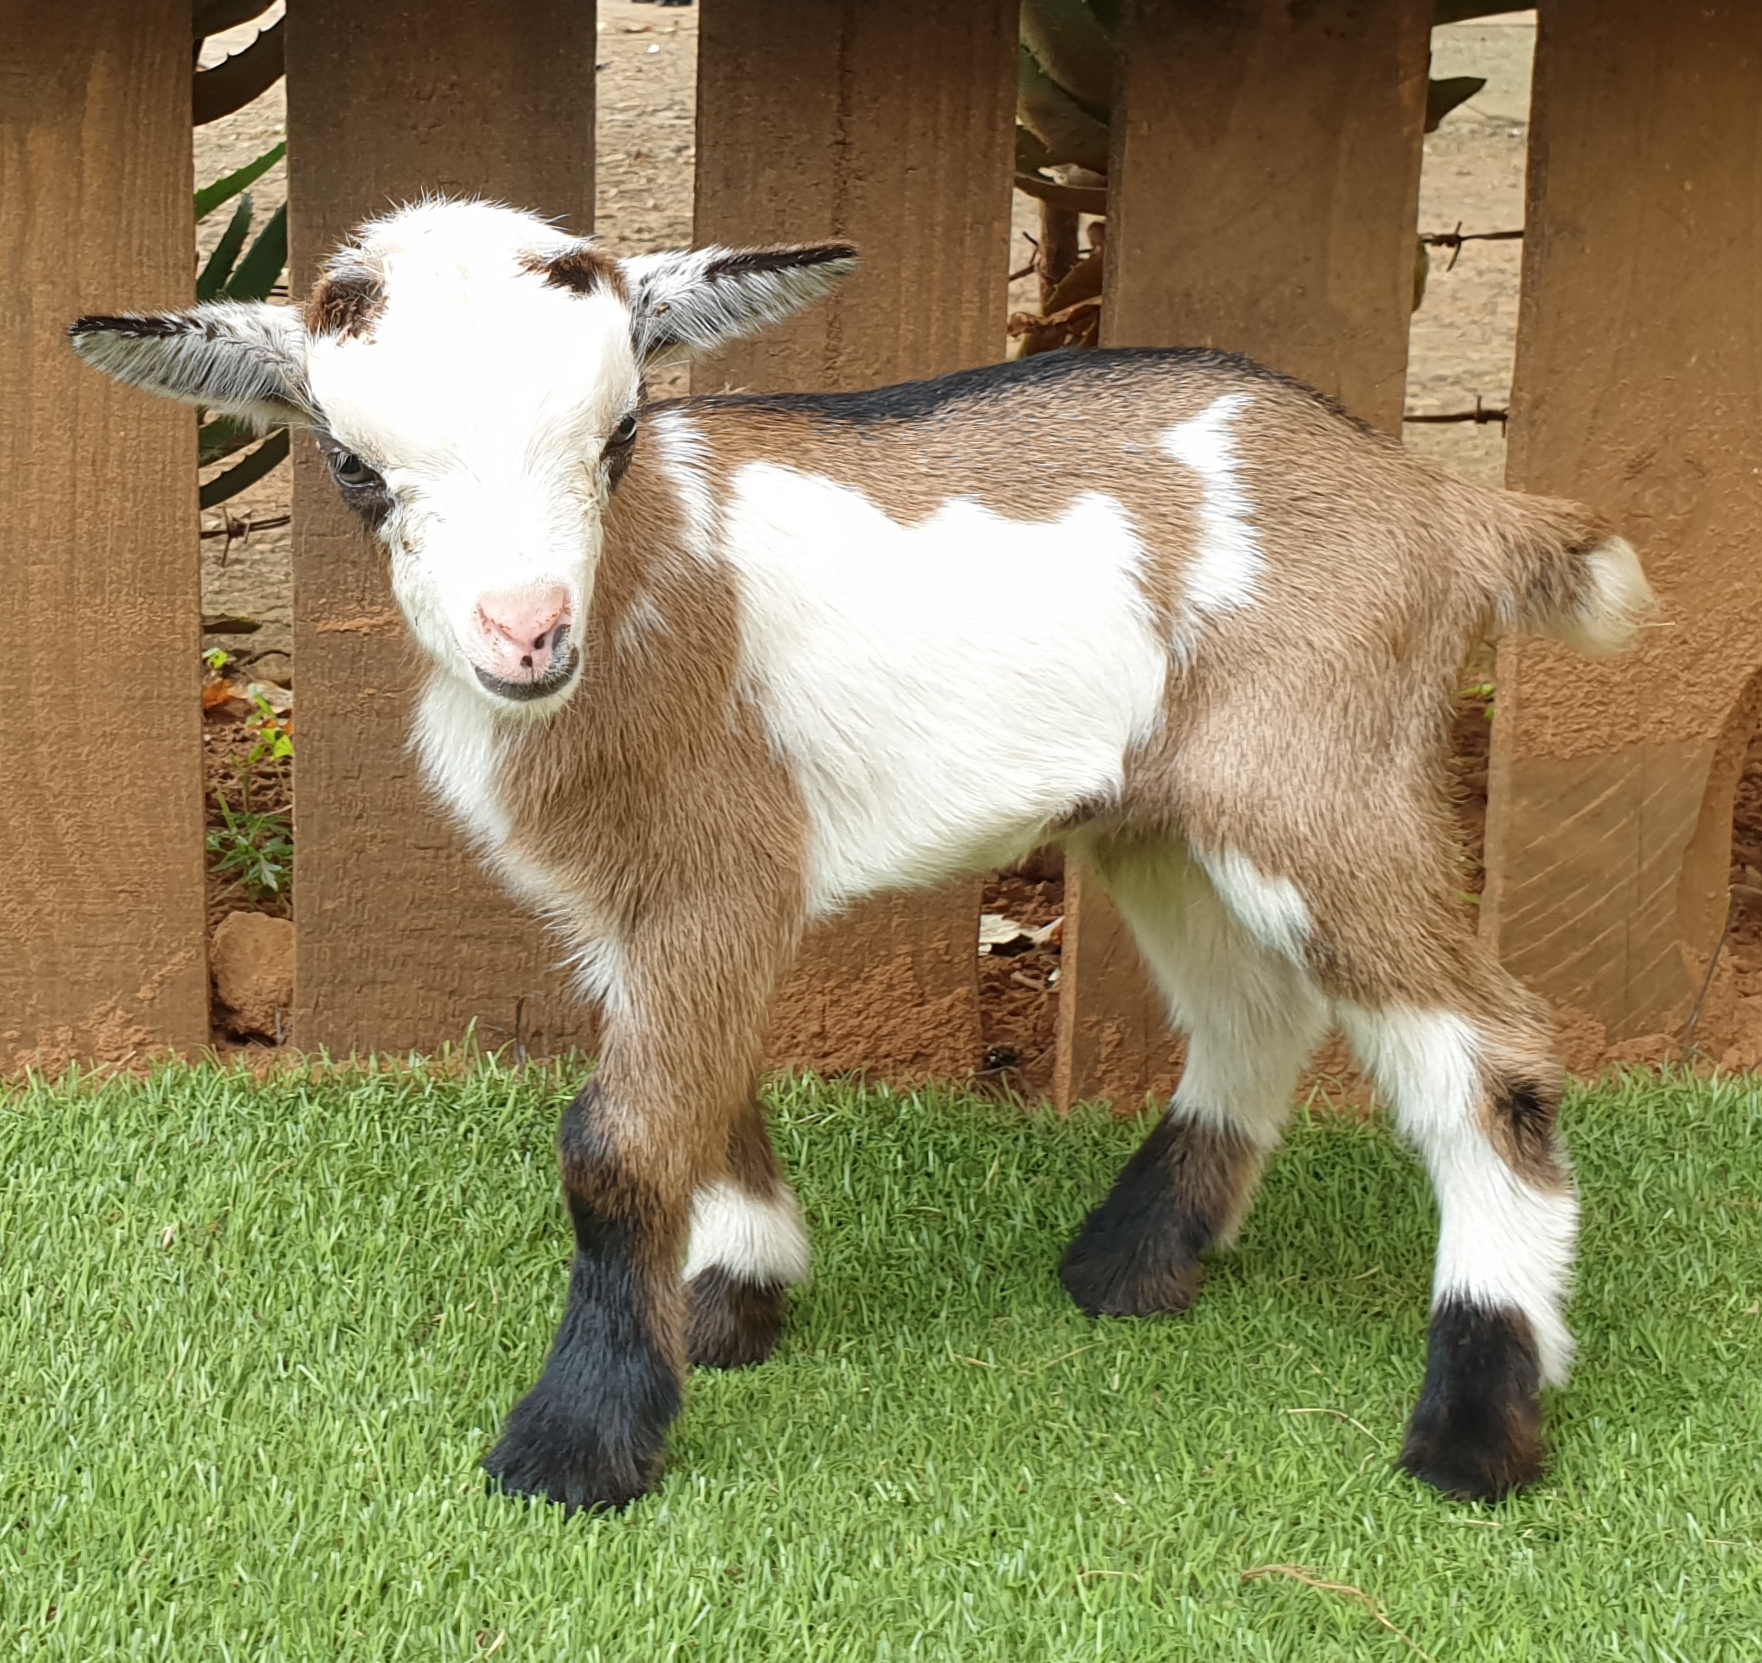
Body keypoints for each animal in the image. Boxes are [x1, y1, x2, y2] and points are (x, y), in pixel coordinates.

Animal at [71, 198, 1654, 1512]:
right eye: (353, 463)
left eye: (618, 435)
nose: (525, 633)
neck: (643, 592)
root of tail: (1443, 507)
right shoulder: (635, 908)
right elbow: (699, 1091)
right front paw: (730, 1304)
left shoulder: (718, 871)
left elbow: (615, 1142)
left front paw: (577, 1443)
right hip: (1161, 811)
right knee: (1254, 1009)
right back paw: (1131, 1267)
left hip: (1321, 777)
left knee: (1487, 1052)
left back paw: (1475, 1422)